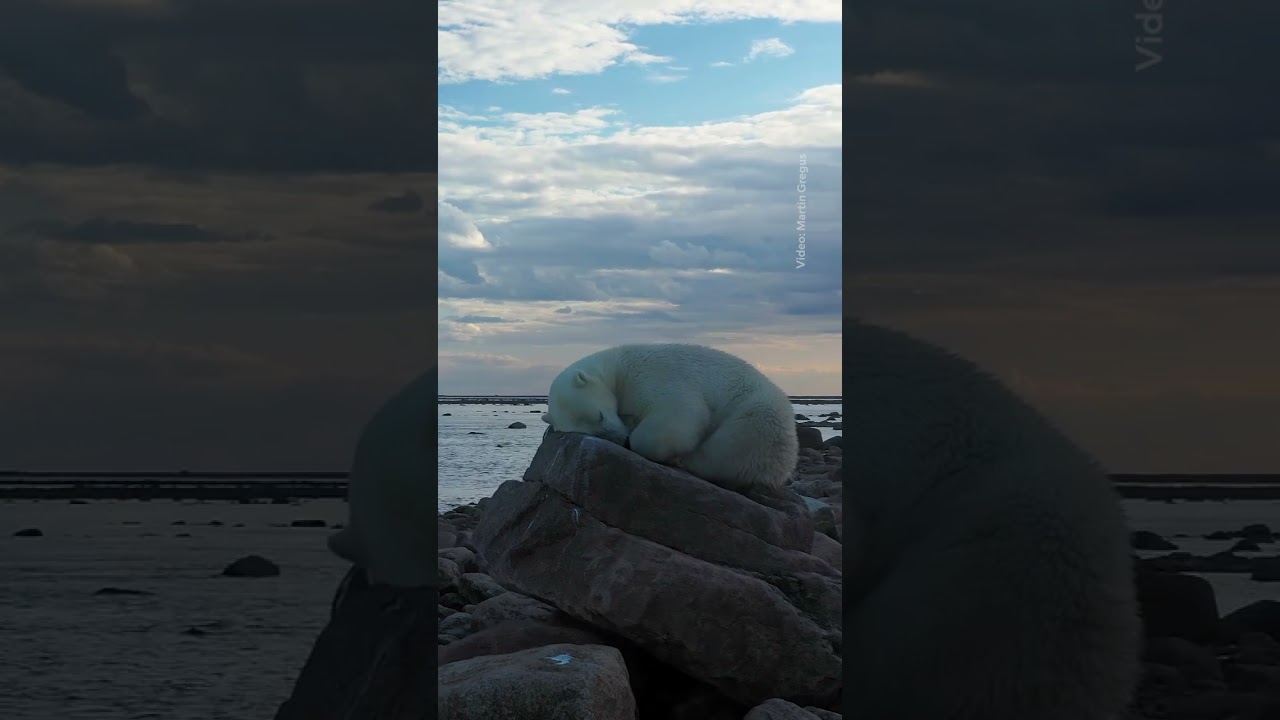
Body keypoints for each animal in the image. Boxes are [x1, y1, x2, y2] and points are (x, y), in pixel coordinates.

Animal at [541, 343, 799, 492]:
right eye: (594, 431)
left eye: (600, 415)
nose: (623, 439)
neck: (617, 365)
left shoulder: (651, 374)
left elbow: (683, 411)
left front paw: (640, 441)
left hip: (759, 415)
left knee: (729, 447)